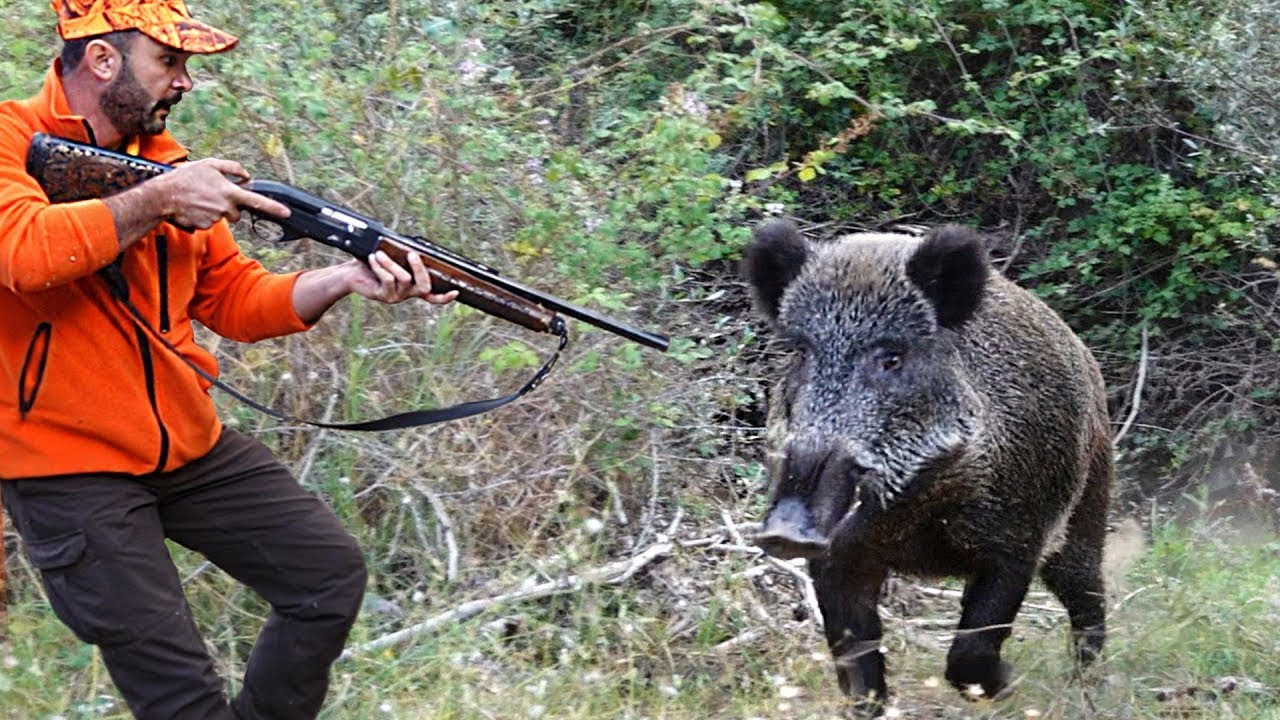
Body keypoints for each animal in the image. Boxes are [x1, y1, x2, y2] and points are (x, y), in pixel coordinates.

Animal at [743, 219, 1113, 712]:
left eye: (892, 358)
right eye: (801, 352)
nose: (783, 531)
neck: (917, 513)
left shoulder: (1019, 540)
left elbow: (972, 647)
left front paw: (1006, 685)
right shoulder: (839, 557)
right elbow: (855, 662)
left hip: (1088, 506)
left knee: (1088, 597)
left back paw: (1089, 686)